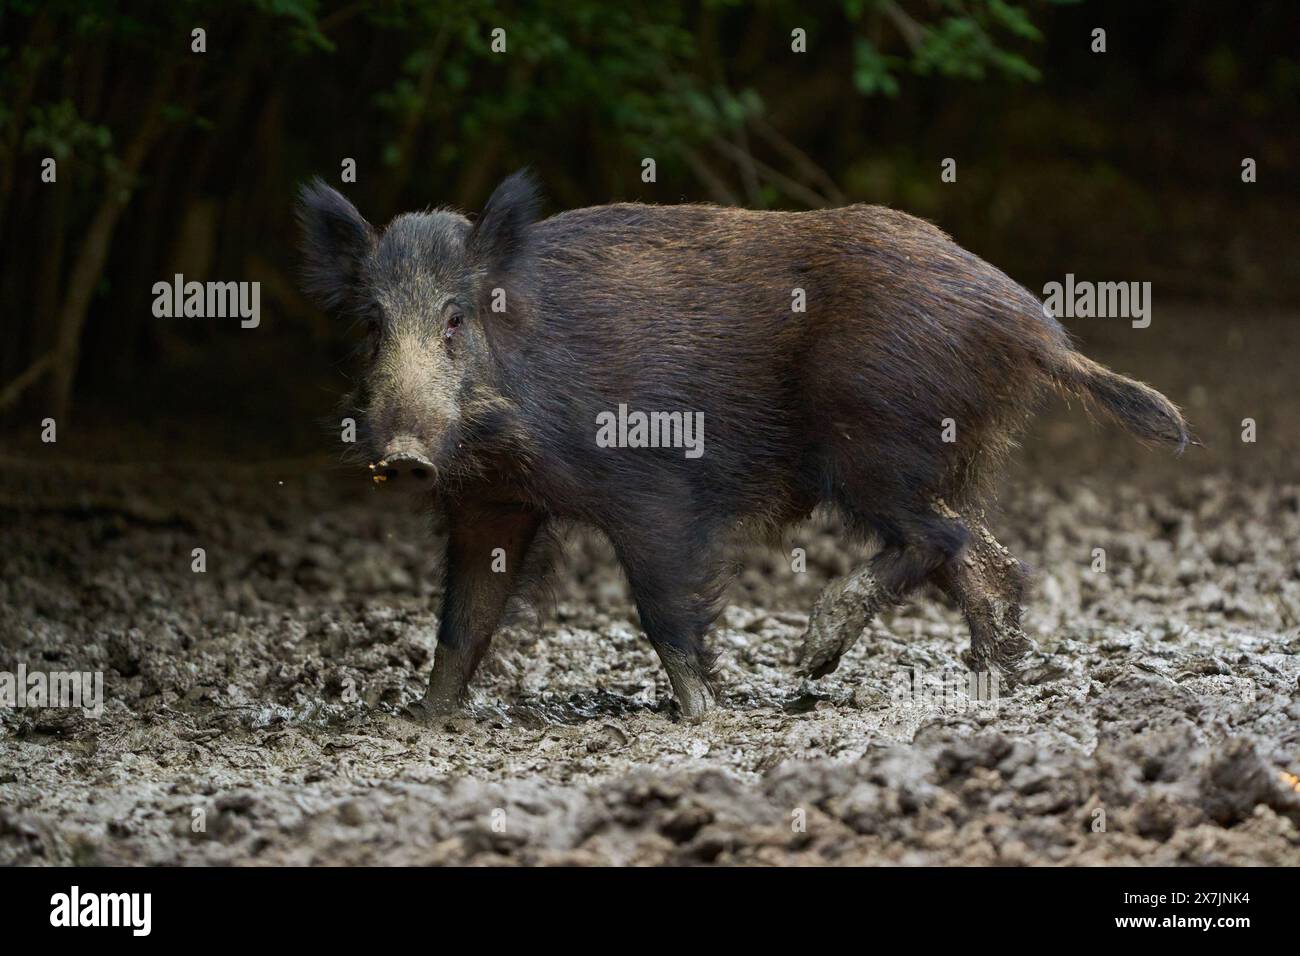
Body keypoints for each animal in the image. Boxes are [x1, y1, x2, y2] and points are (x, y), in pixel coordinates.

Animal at [296, 170, 1190, 721]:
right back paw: (986, 690)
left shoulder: (653, 490)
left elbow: (663, 608)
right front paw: (423, 719)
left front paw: (703, 716)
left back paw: (812, 662)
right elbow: (463, 620)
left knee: (943, 539)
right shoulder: (490, 503)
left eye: (455, 320)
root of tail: (1033, 326)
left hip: (873, 441)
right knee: (989, 560)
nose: (402, 455)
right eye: (371, 325)